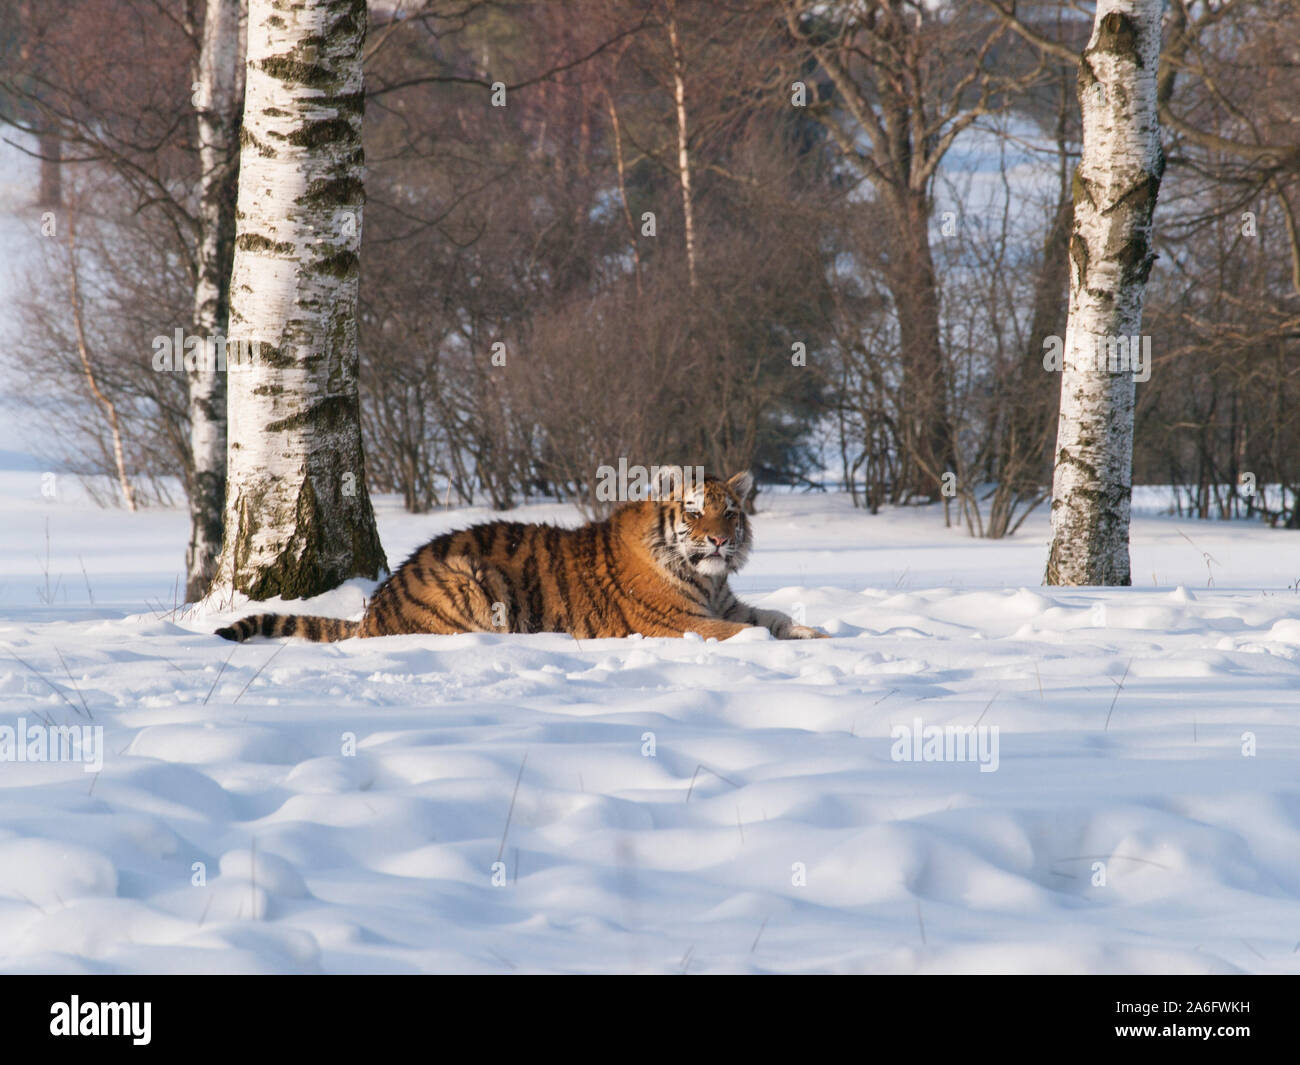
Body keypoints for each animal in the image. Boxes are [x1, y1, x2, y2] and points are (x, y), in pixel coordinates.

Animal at [215, 469, 829, 643]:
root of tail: (372, 612)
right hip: (468, 582)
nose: (721, 540)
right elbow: (749, 631)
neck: (705, 577)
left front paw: (816, 632)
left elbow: (772, 615)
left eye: (732, 513)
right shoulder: (678, 621)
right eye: (697, 512)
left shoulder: (724, 602)